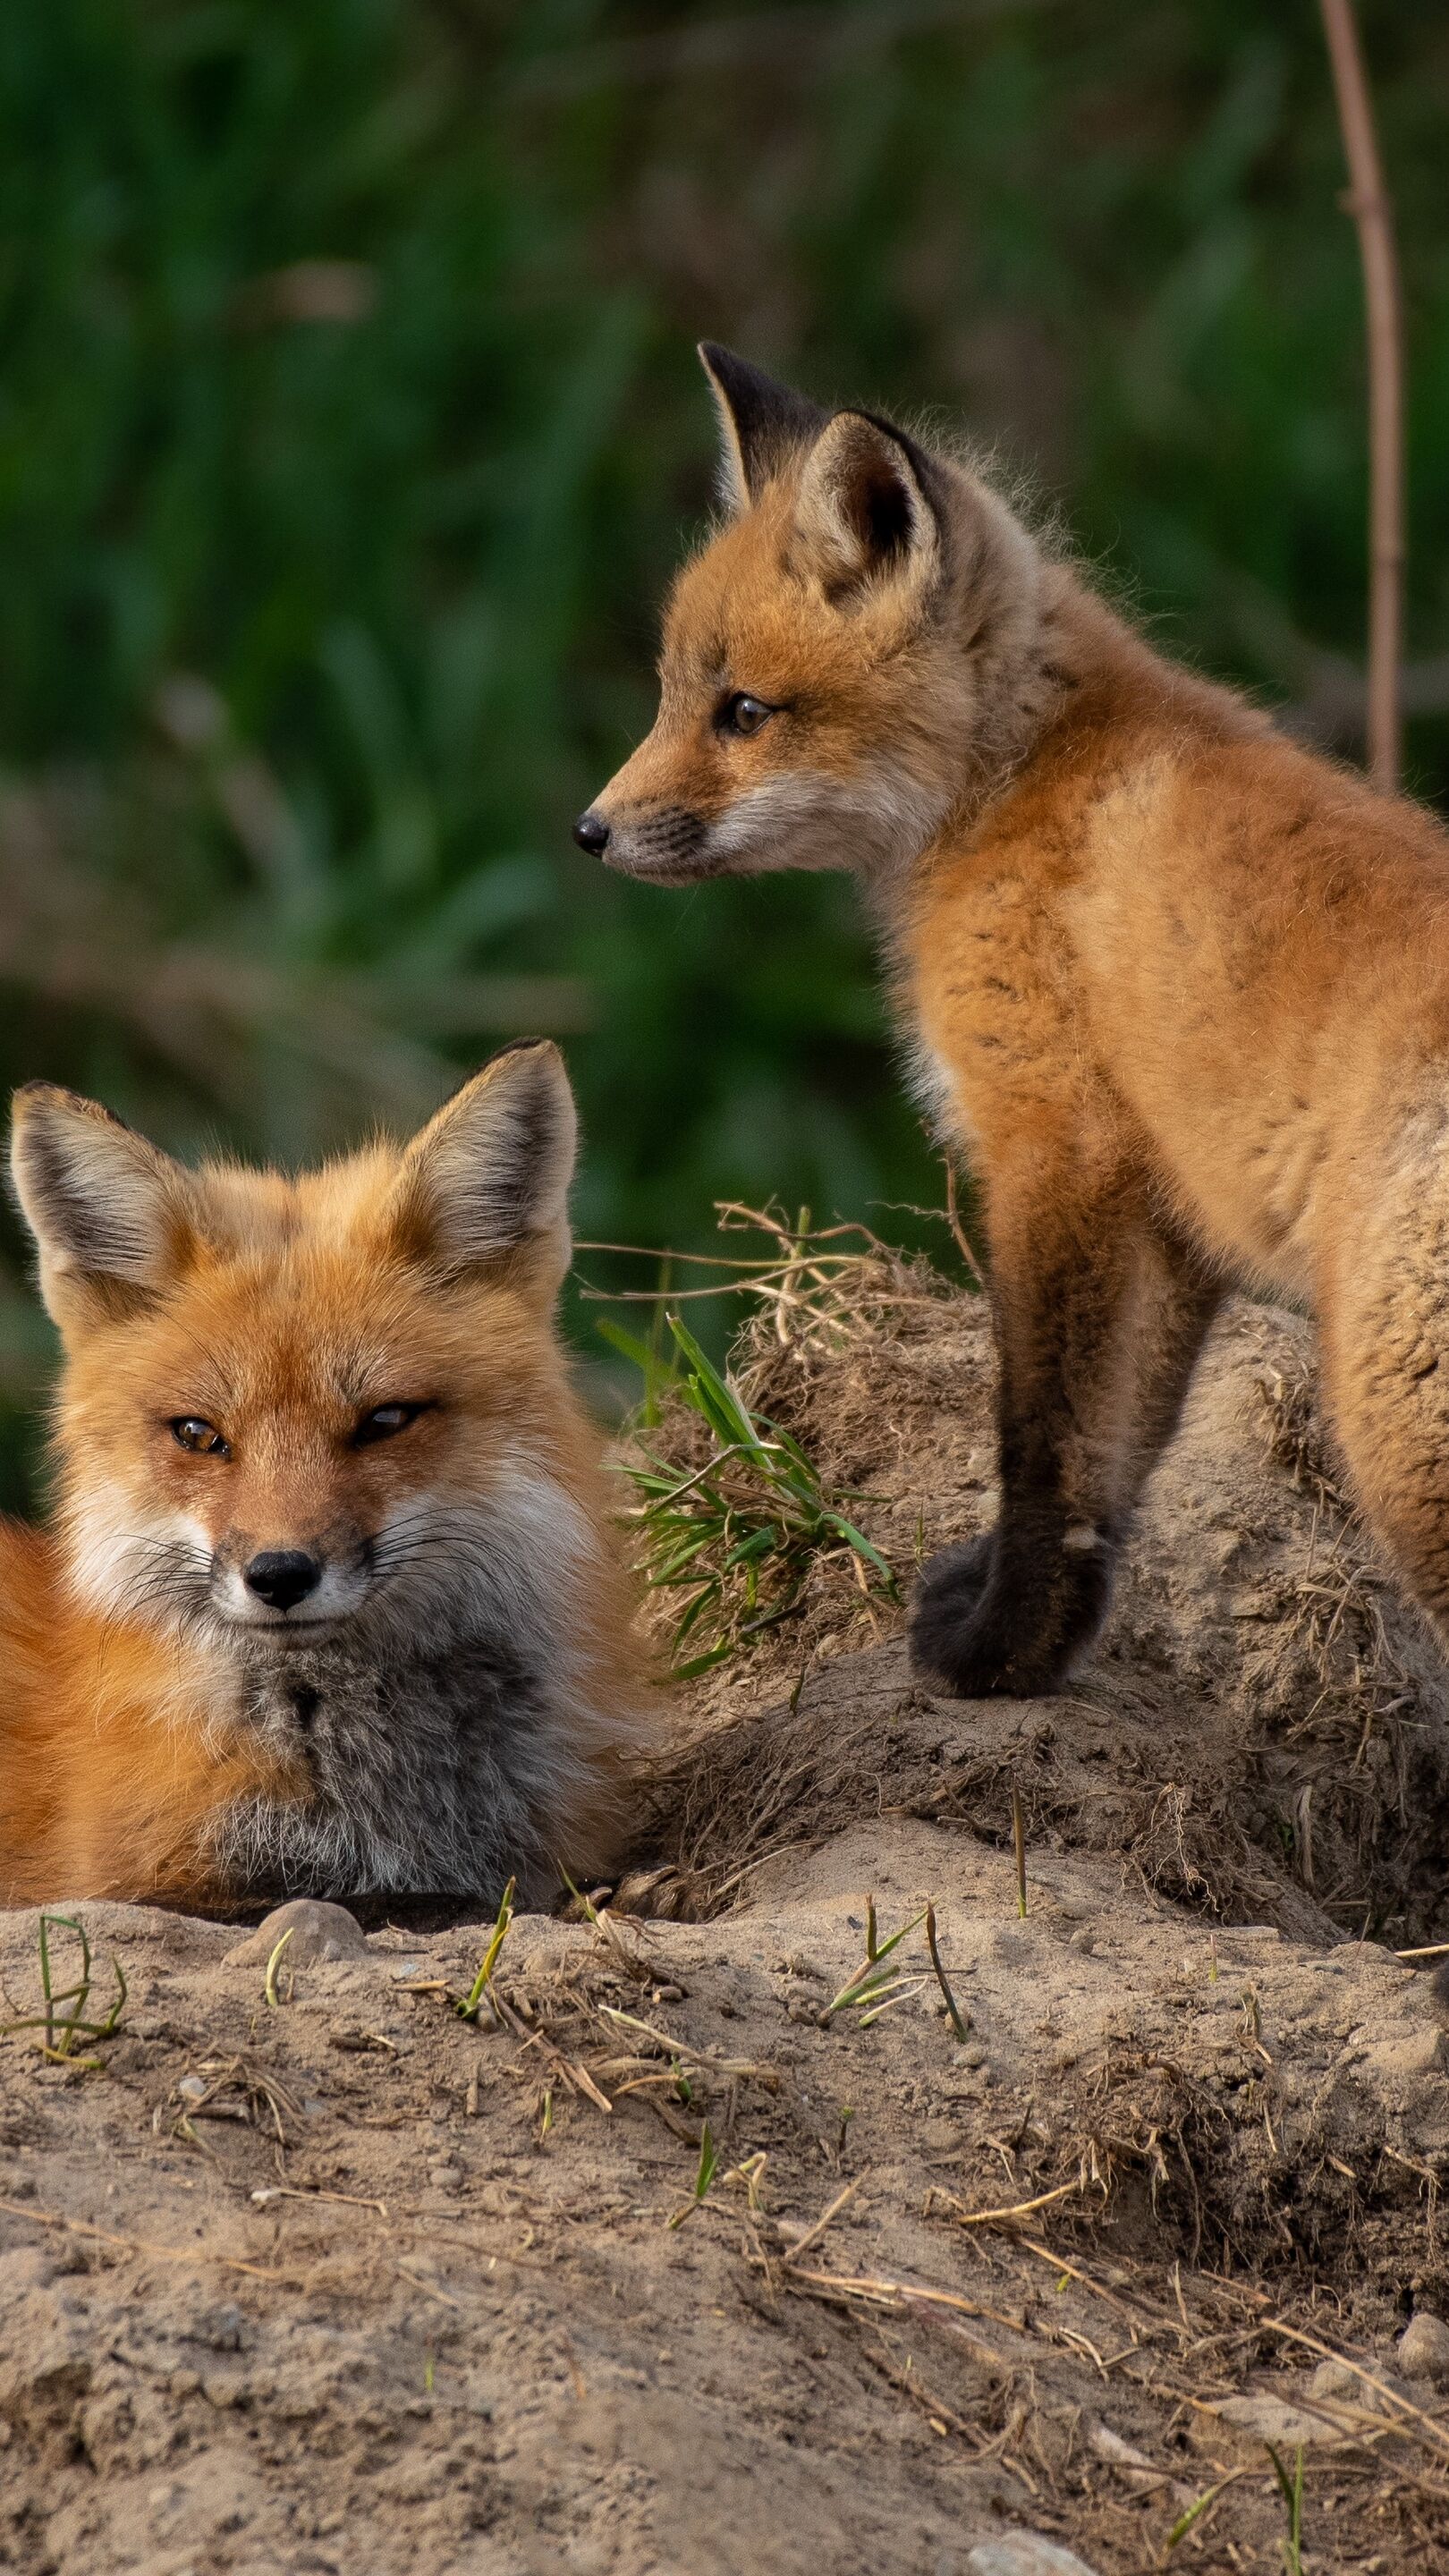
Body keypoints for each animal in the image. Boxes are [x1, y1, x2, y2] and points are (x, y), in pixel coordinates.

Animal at [576, 340, 1449, 1702]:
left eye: (745, 712)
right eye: (673, 696)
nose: (591, 830)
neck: (1016, 775)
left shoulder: (1059, 1146)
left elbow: (1043, 1443)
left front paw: (992, 1656)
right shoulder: (1168, 1215)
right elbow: (1116, 1471)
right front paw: (1037, 1641)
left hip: (1403, 1441)